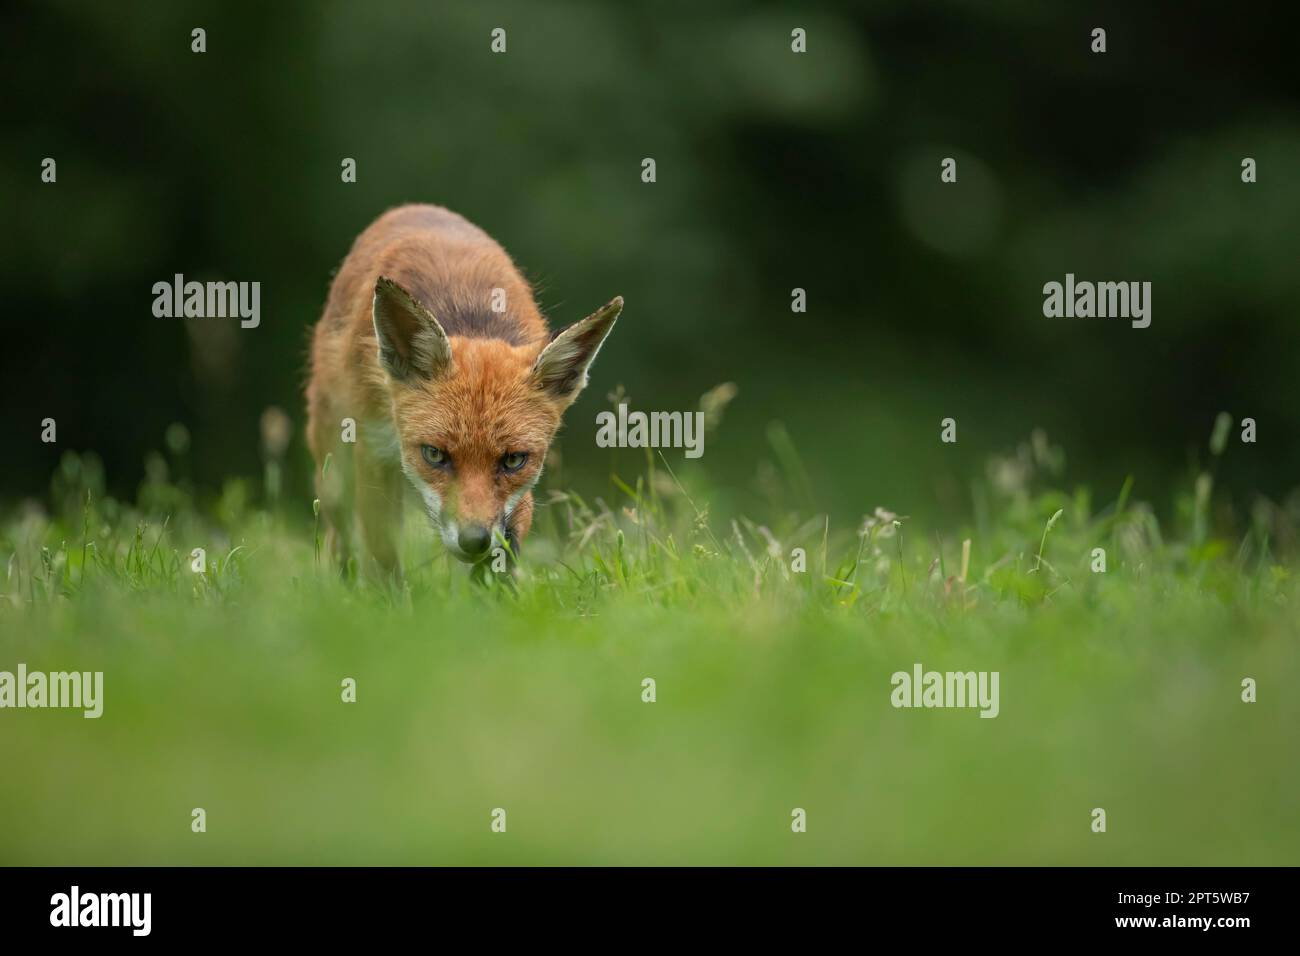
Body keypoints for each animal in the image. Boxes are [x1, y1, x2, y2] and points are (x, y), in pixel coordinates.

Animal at [306, 204, 622, 575]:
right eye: (434, 454)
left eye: (513, 460)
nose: (473, 541)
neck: (471, 319)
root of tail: (415, 207)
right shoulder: (374, 449)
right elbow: (383, 554)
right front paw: (386, 592)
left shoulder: (516, 496)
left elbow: (504, 553)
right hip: (334, 467)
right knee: (338, 533)